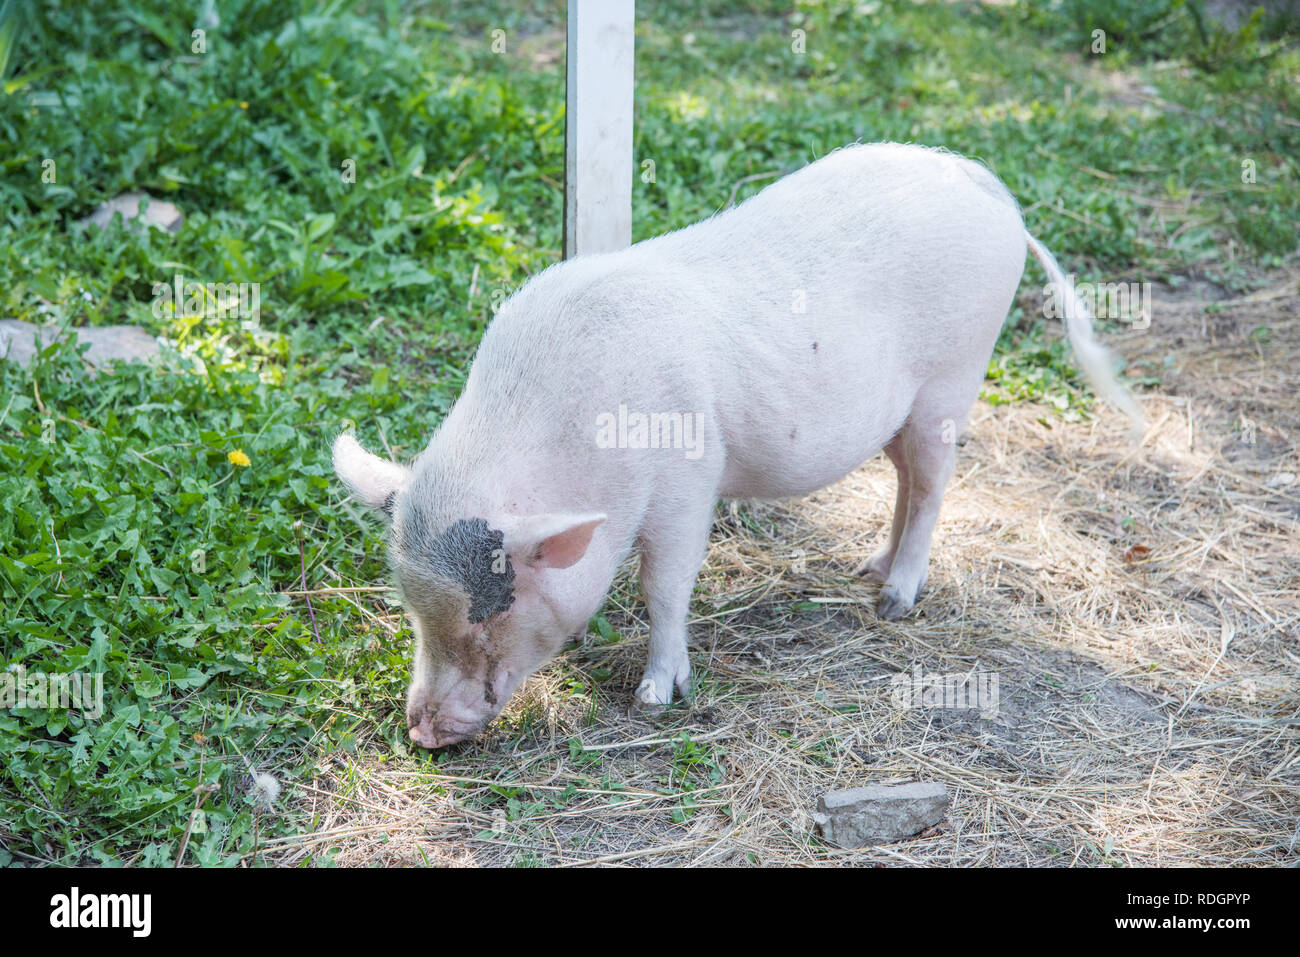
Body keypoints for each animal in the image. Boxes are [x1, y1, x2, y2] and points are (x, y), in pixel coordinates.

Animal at [333, 142, 1143, 749]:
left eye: (489, 615)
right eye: (412, 611)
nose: (421, 733)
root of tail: (988, 188)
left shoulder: (689, 482)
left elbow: (664, 587)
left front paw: (656, 698)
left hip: (955, 378)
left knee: (937, 485)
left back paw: (893, 602)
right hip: (896, 414)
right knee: (908, 482)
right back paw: (866, 568)